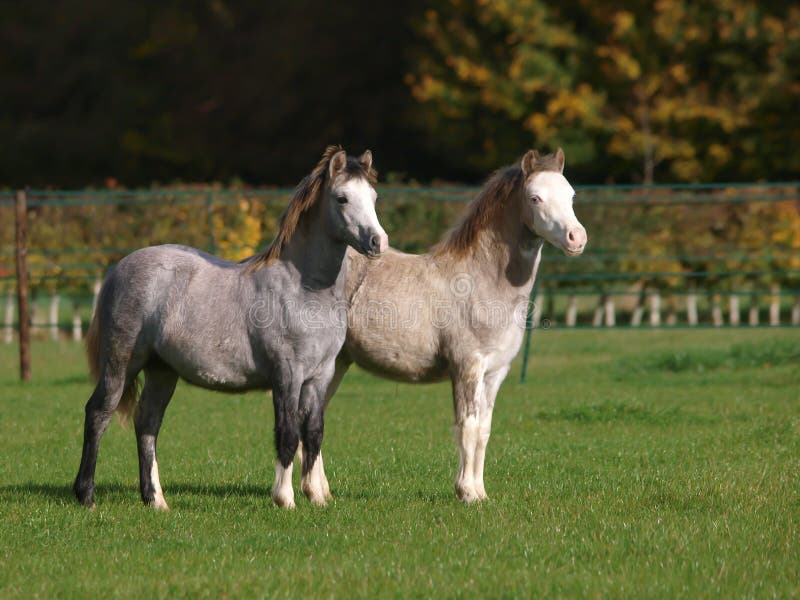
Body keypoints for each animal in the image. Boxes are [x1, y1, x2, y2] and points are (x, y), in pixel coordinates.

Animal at [73, 146, 388, 510]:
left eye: (373, 196)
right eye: (342, 198)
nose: (378, 242)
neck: (304, 289)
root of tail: (118, 269)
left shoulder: (320, 376)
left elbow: (313, 434)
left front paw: (316, 497)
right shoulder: (287, 375)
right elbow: (287, 434)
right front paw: (285, 499)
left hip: (162, 370)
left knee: (147, 424)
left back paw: (156, 500)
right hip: (121, 363)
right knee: (99, 414)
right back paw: (86, 495)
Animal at [316, 148, 587, 503]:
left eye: (571, 195)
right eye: (536, 198)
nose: (576, 238)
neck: (480, 281)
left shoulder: (494, 373)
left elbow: (483, 430)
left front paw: (481, 493)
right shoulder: (466, 367)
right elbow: (467, 427)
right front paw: (467, 493)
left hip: (338, 363)